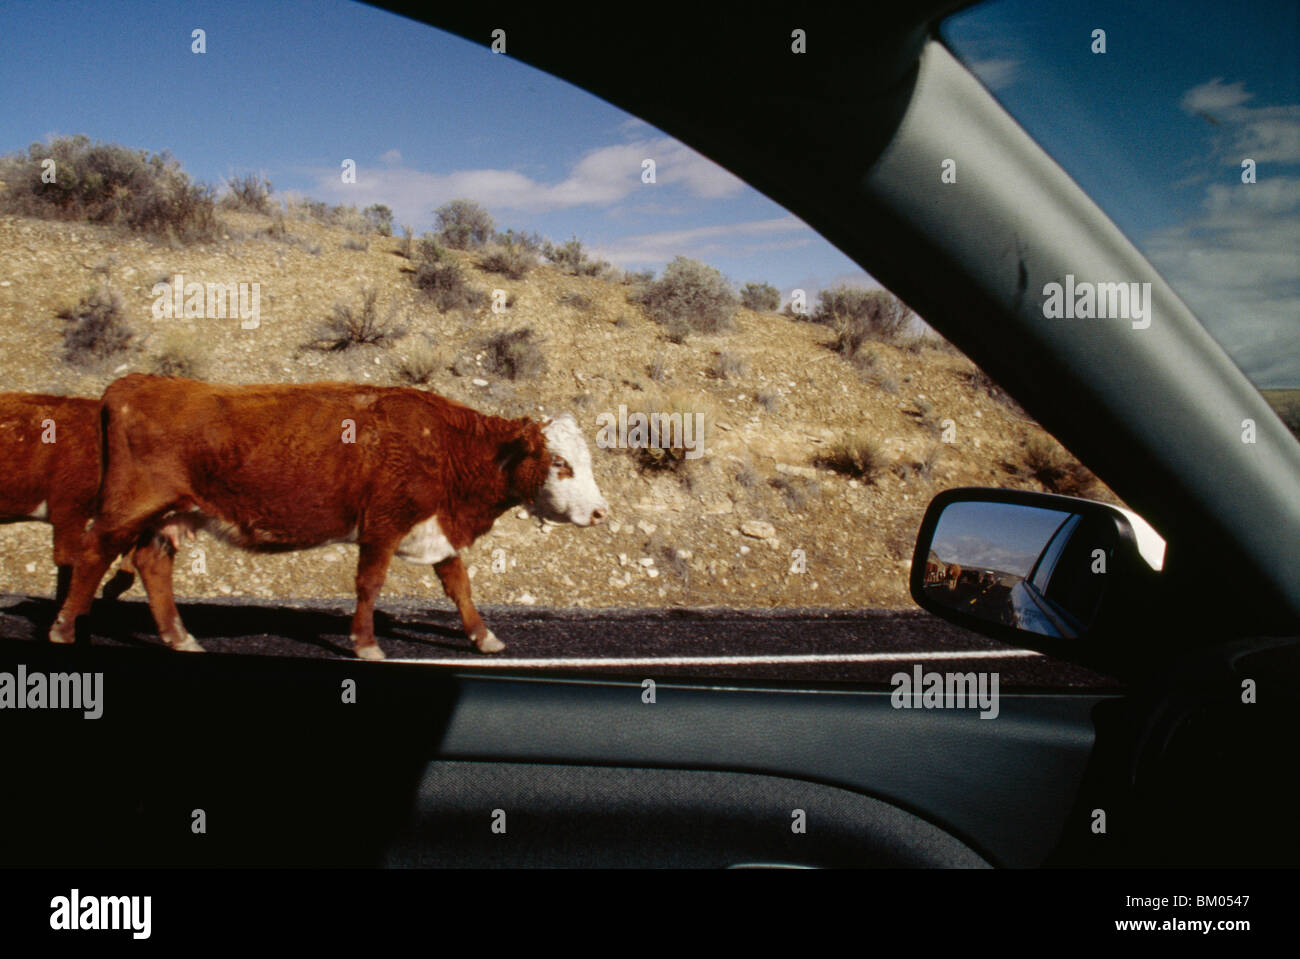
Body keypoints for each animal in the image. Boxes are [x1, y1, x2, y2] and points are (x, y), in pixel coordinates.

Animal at [49, 375, 608, 659]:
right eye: (561, 462)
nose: (601, 511)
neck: (444, 446)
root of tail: (128, 385)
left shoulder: (437, 530)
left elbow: (460, 587)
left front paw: (484, 636)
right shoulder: (383, 525)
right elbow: (369, 584)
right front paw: (366, 644)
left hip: (169, 516)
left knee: (150, 564)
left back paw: (180, 637)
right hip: (130, 506)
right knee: (94, 553)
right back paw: (64, 628)